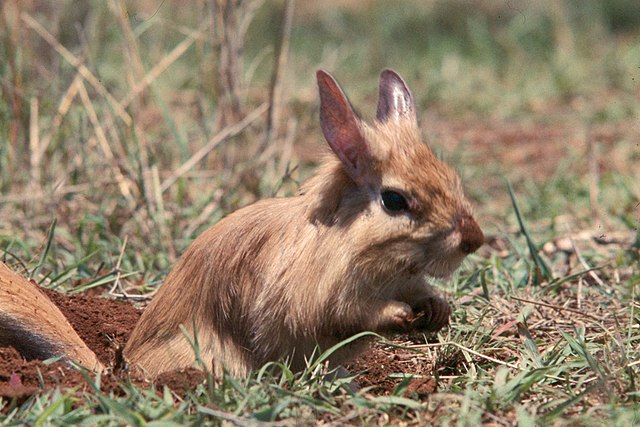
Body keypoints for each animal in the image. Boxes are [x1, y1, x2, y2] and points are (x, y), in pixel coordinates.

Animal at [123, 69, 484, 378]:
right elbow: (355, 314)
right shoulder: (322, 303)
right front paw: (402, 314)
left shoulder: (405, 280)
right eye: (394, 200)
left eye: (452, 178)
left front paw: (438, 309)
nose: (475, 238)